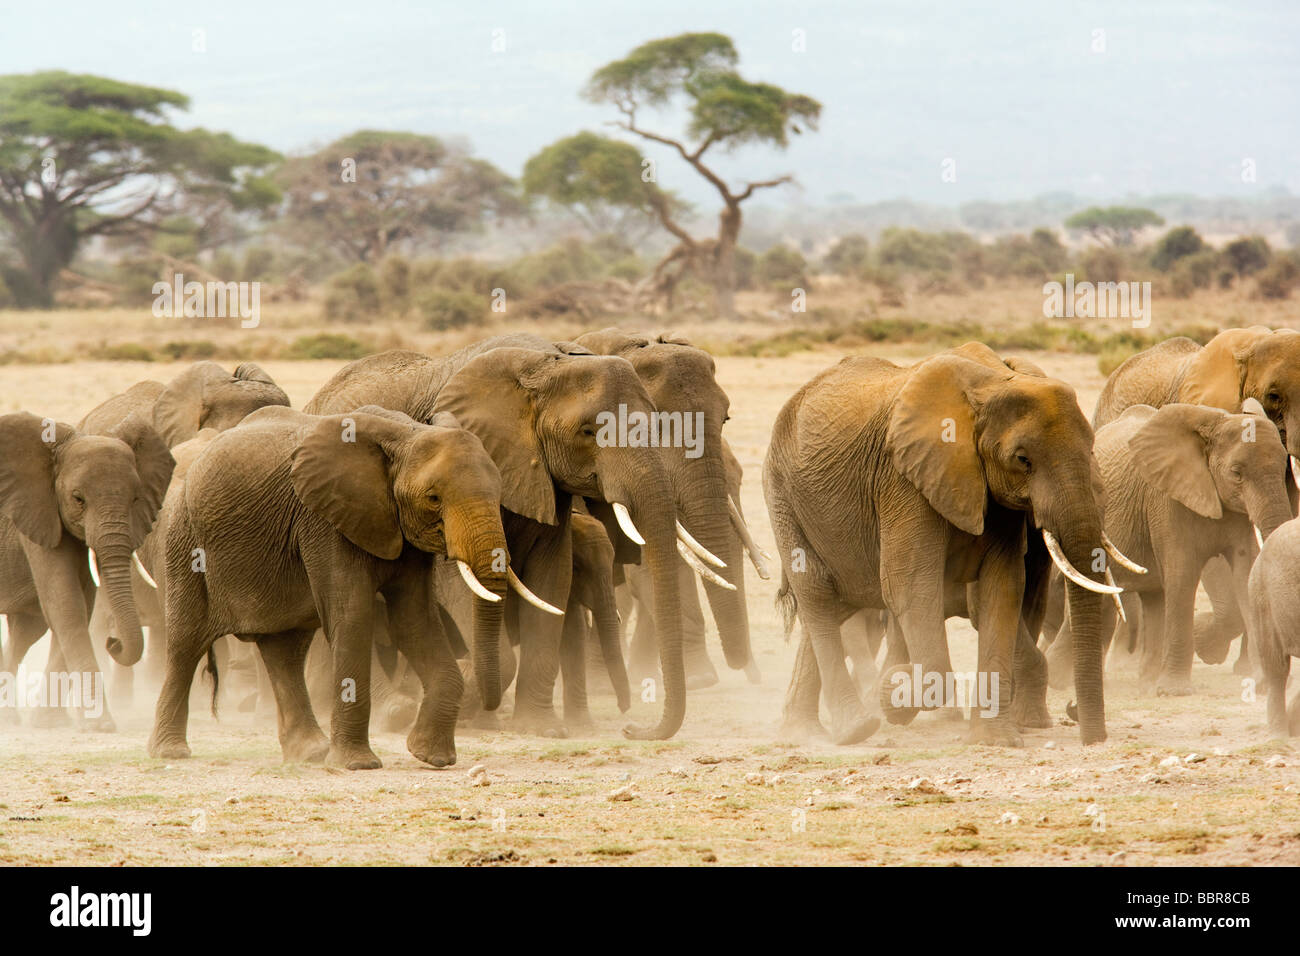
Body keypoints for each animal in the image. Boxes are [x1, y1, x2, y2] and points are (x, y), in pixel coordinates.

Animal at [0, 412, 174, 730]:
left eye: (135, 499)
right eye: (78, 498)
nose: (113, 642)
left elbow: (77, 605)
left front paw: (51, 722)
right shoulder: (40, 512)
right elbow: (66, 603)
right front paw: (101, 724)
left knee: (27, 631)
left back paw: (9, 718)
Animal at [146, 406, 512, 770]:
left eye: (499, 492)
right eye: (433, 498)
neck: (405, 434)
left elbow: (414, 621)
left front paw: (431, 757)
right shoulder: (325, 522)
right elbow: (353, 616)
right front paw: (357, 765)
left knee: (285, 650)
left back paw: (309, 753)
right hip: (184, 541)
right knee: (186, 644)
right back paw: (170, 752)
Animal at [305, 335, 719, 740]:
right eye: (587, 432)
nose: (632, 728)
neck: (546, 364)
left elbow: (551, 579)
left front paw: (540, 727)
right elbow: (459, 584)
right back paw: (392, 711)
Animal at [764, 343, 1125, 747]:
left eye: (1092, 447)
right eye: (1023, 460)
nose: (1087, 732)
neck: (993, 382)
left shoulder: (989, 491)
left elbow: (1002, 587)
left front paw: (995, 740)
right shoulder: (904, 478)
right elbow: (909, 584)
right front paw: (894, 692)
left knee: (836, 602)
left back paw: (807, 729)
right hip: (780, 492)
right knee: (816, 592)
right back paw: (853, 730)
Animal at [1046, 401, 1292, 696]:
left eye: (1284, 465)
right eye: (1236, 473)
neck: (1216, 422)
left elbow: (1245, 572)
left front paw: (1260, 683)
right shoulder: (1165, 500)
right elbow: (1182, 574)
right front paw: (1175, 690)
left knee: (1151, 597)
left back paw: (1145, 681)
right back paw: (1058, 681)